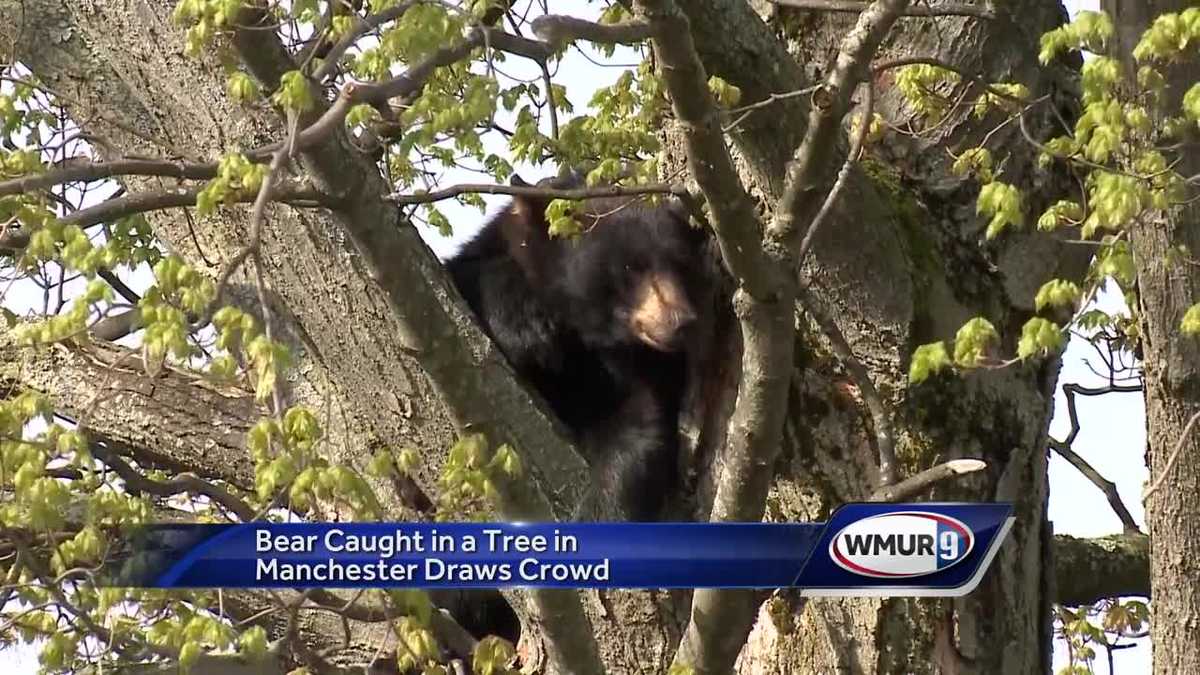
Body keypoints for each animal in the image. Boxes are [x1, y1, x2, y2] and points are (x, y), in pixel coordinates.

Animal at [444, 173, 708, 522]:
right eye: (631, 268)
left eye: (682, 265)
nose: (681, 321)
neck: (589, 332)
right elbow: (472, 273)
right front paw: (527, 330)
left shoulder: (644, 371)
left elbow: (639, 428)